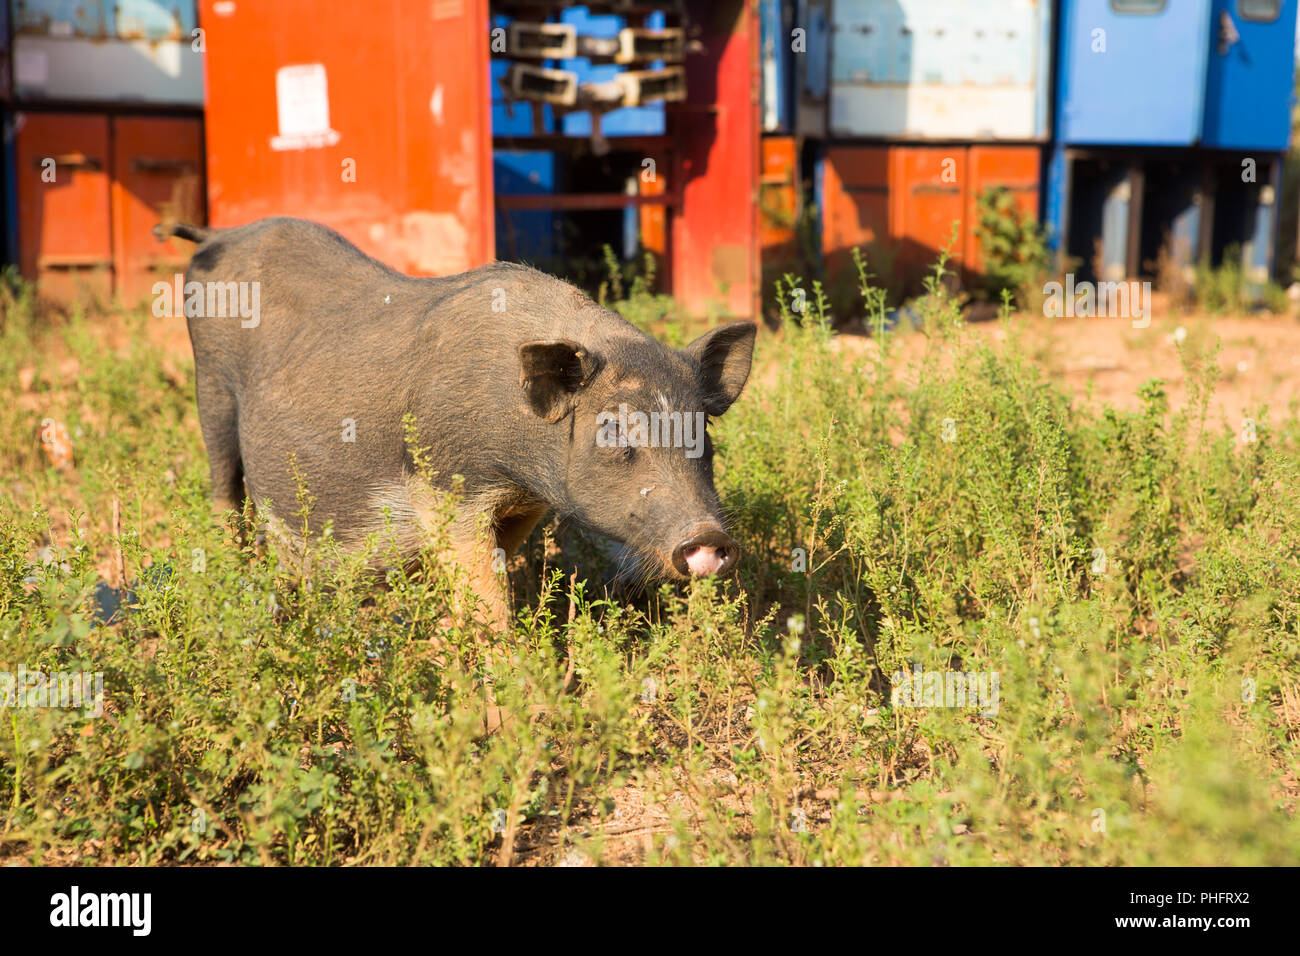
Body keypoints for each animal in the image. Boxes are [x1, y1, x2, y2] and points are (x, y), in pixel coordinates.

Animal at [157, 217, 755, 622]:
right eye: (612, 433)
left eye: (702, 435)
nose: (708, 537)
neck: (517, 462)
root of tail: (219, 234)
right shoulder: (447, 486)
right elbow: (486, 593)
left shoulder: (522, 504)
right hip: (210, 387)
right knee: (223, 491)